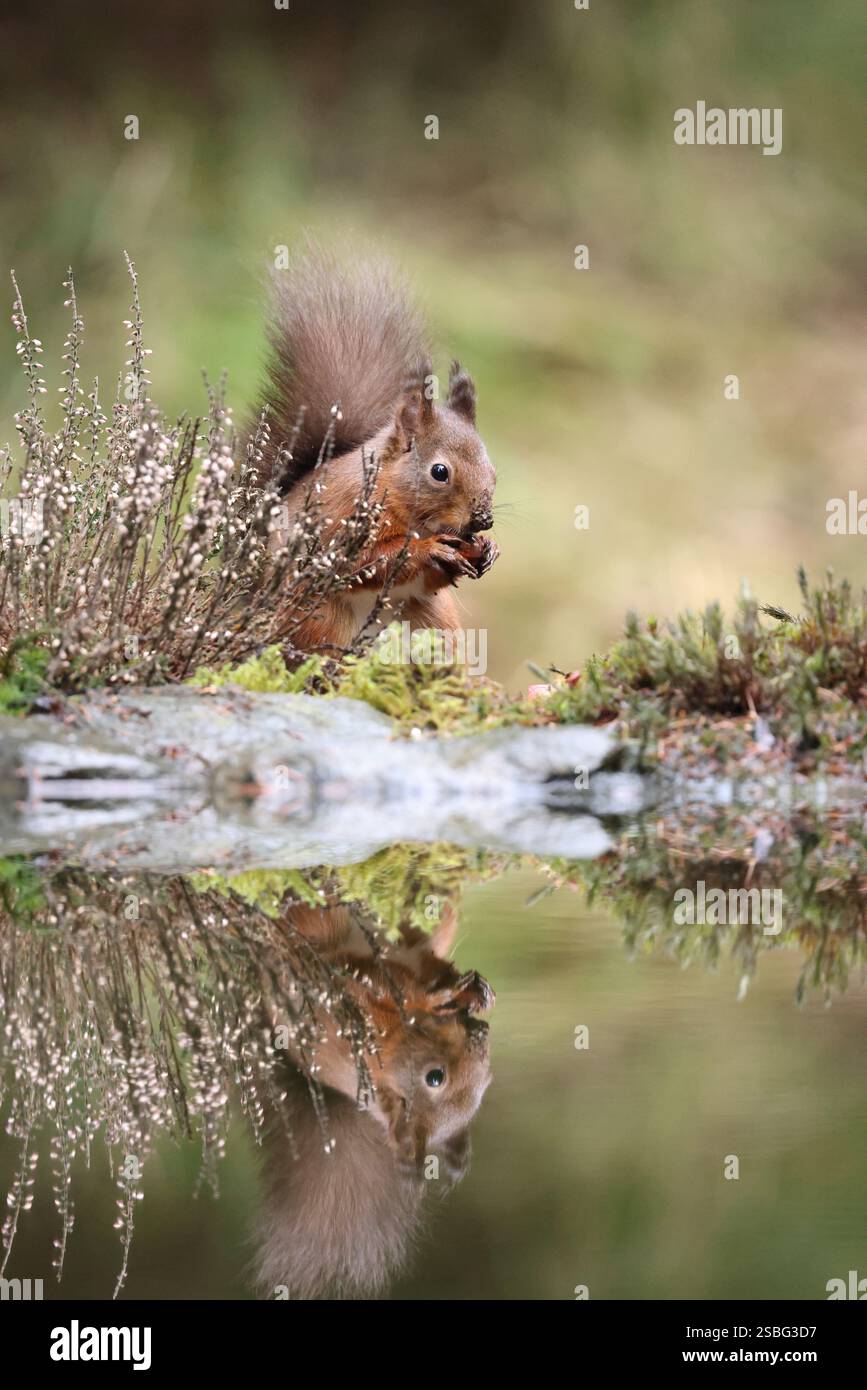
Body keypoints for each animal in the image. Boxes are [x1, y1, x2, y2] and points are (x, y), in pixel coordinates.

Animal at [252, 244, 499, 655]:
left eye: (494, 472)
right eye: (440, 472)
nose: (483, 520)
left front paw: (488, 548)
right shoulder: (340, 523)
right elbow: (364, 564)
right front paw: (430, 550)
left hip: (431, 621)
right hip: (320, 619)